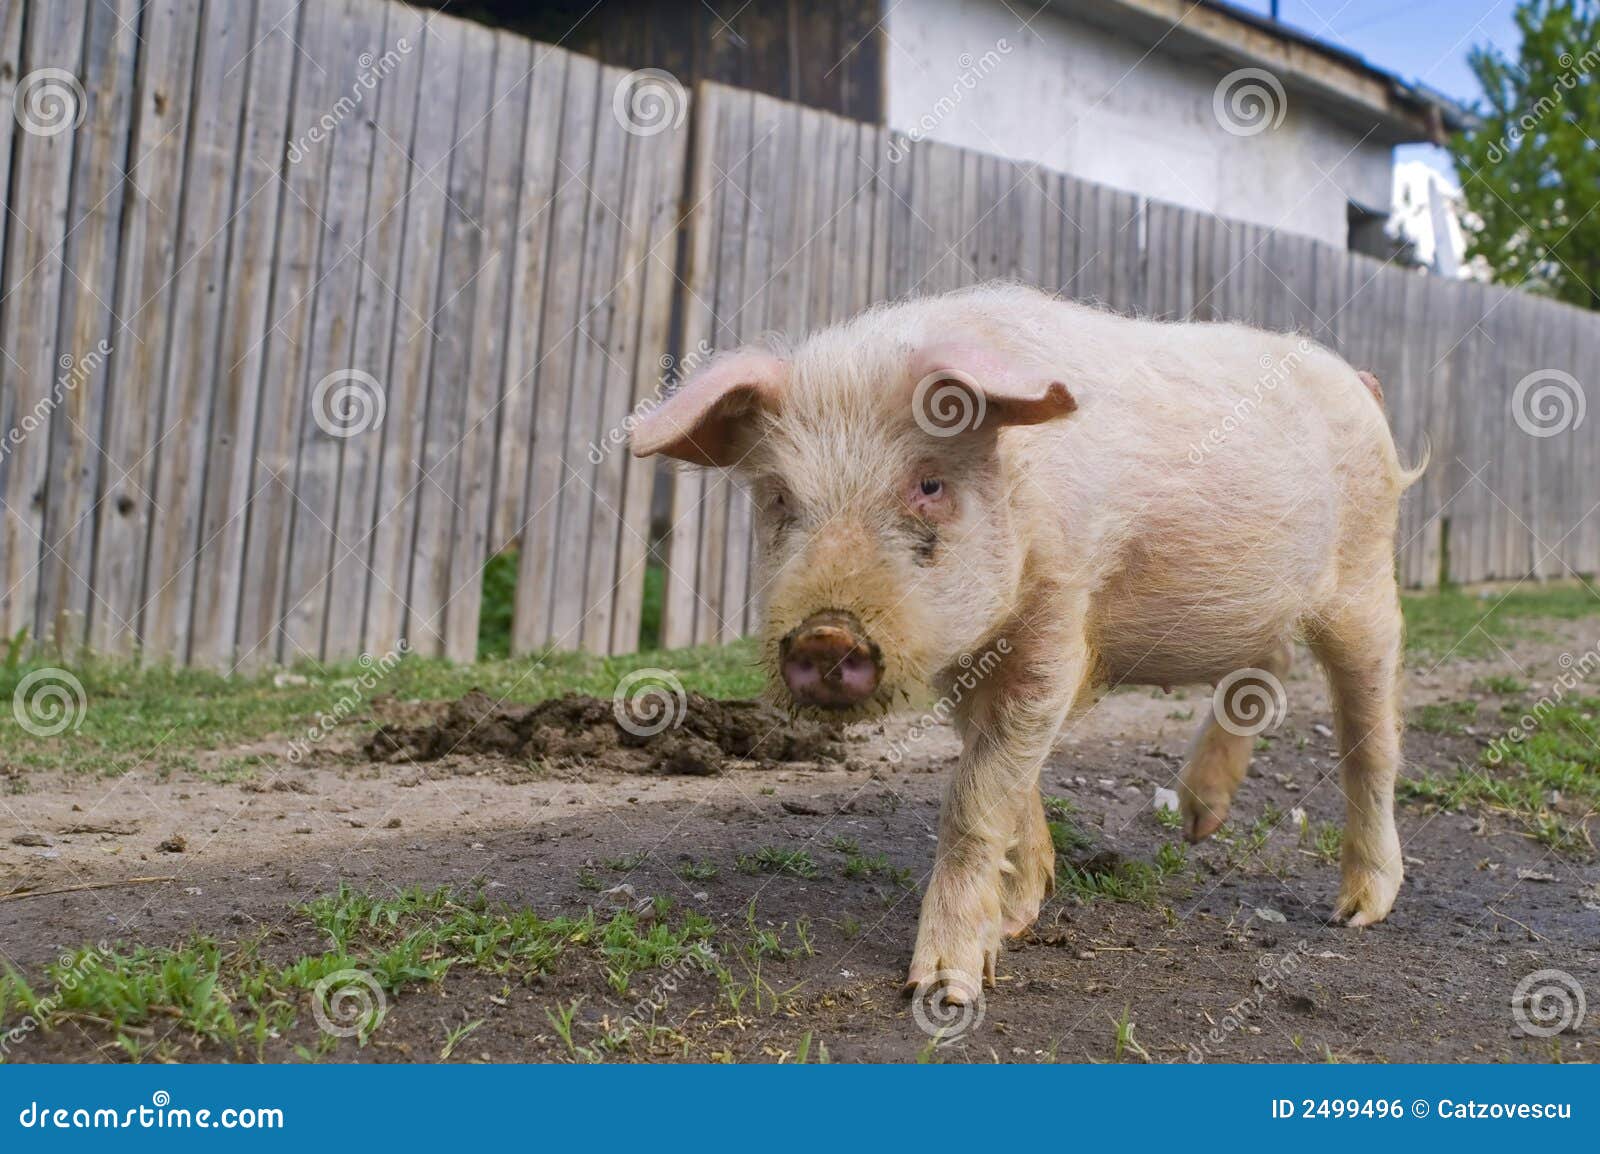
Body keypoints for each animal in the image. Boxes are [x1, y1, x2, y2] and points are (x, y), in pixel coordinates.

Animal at [630, 283, 1422, 1005]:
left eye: (929, 485)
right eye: (779, 498)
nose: (826, 634)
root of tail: (1358, 382)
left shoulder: (1060, 617)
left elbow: (977, 793)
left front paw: (945, 988)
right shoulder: (964, 658)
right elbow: (1009, 779)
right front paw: (1015, 919)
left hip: (1364, 574)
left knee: (1371, 735)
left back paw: (1355, 912)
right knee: (1270, 666)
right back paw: (1198, 825)